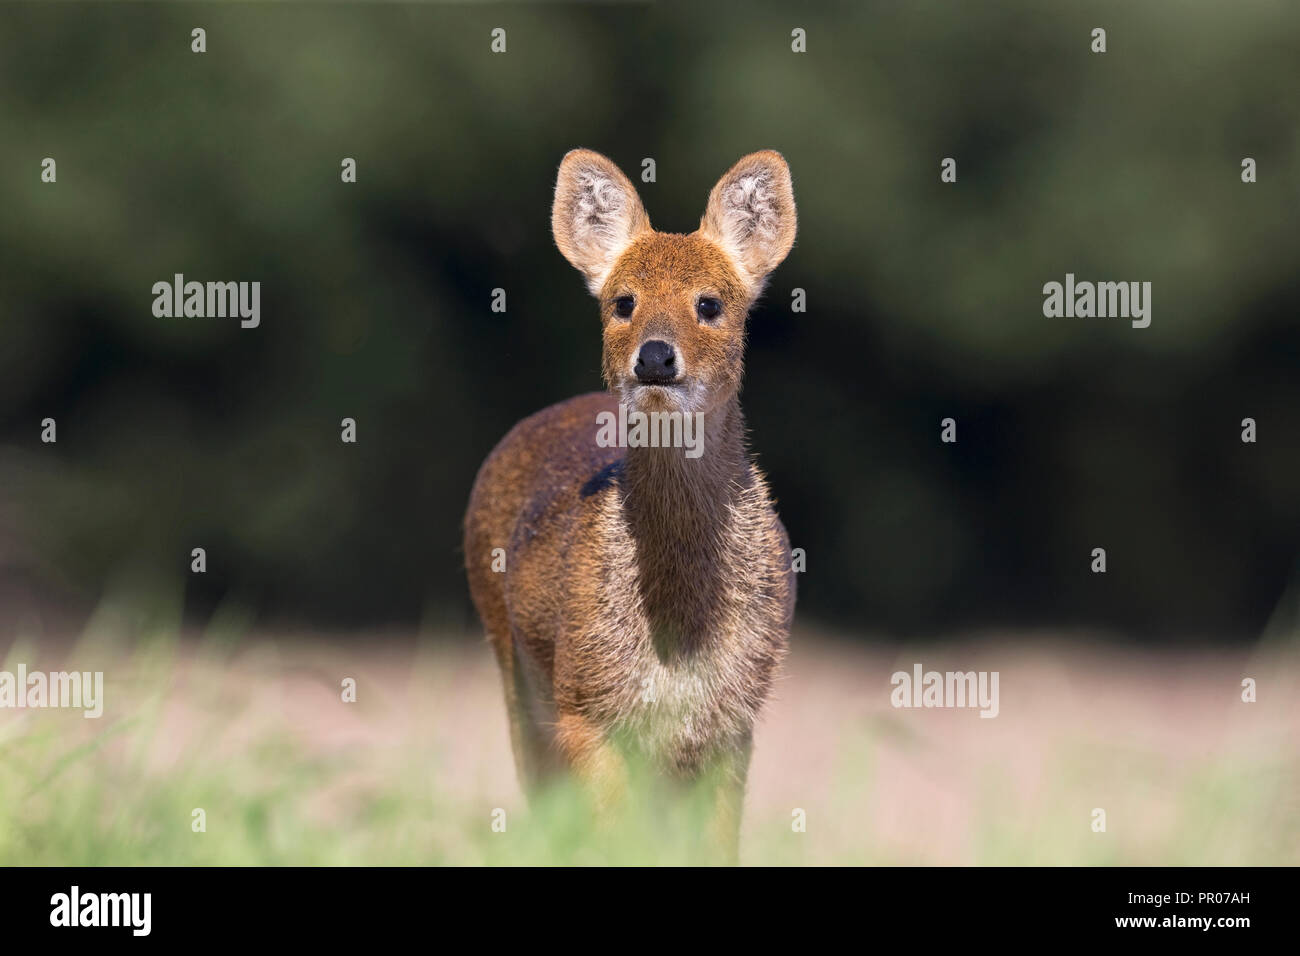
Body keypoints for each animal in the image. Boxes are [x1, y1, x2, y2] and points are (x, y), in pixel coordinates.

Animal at [463, 149, 797, 860]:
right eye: (624, 302)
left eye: (710, 304)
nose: (655, 356)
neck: (677, 628)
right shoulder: (585, 706)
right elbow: (615, 840)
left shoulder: (731, 722)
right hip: (516, 674)